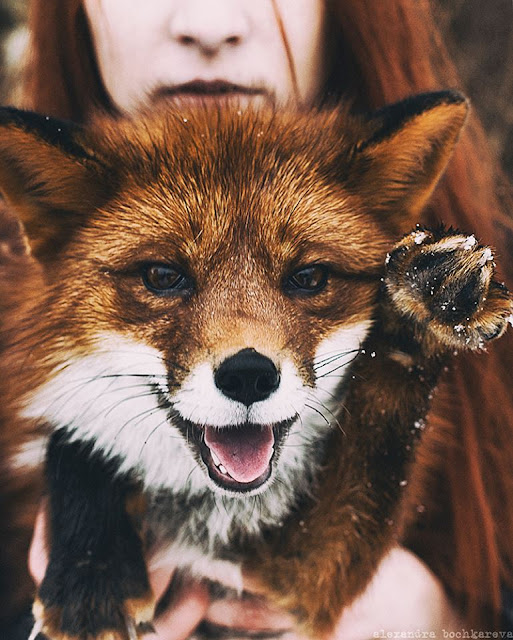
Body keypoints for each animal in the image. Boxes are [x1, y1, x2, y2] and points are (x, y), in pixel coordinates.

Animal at [0, 92, 511, 640]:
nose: (248, 375)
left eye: (308, 277)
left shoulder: (298, 583)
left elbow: (381, 435)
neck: (216, 509)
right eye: (162, 275)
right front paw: (91, 573)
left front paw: (420, 317)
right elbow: (76, 442)